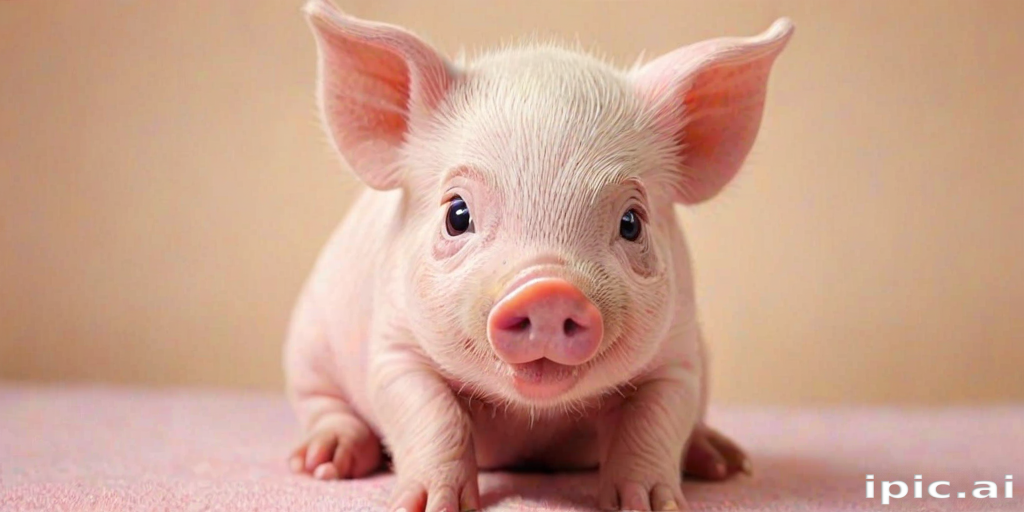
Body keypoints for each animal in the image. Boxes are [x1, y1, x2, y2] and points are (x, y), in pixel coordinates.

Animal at [284, 1, 793, 510]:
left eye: (632, 223)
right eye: (456, 215)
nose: (547, 290)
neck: (533, 421)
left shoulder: (679, 355)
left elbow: (654, 422)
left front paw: (650, 504)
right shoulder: (394, 347)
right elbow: (431, 413)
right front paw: (428, 504)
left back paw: (727, 463)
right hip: (307, 343)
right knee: (322, 404)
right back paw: (322, 461)